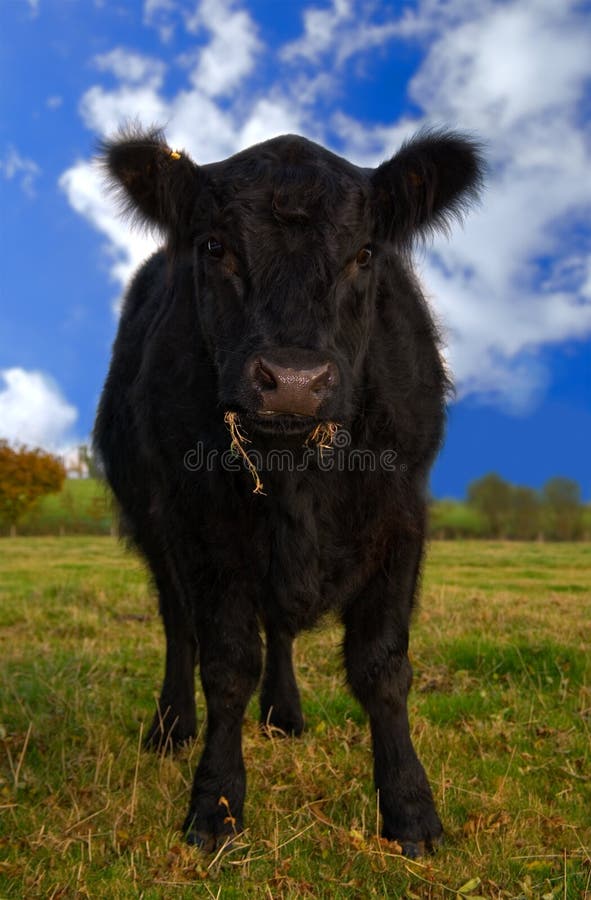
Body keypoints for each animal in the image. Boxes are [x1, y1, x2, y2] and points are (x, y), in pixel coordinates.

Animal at [94, 125, 484, 858]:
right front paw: (215, 807)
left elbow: (382, 667)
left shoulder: (401, 513)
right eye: (215, 247)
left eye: (364, 253)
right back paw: (170, 727)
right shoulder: (199, 522)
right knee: (178, 625)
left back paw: (284, 712)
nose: (294, 380)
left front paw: (411, 811)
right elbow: (224, 664)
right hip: (152, 522)